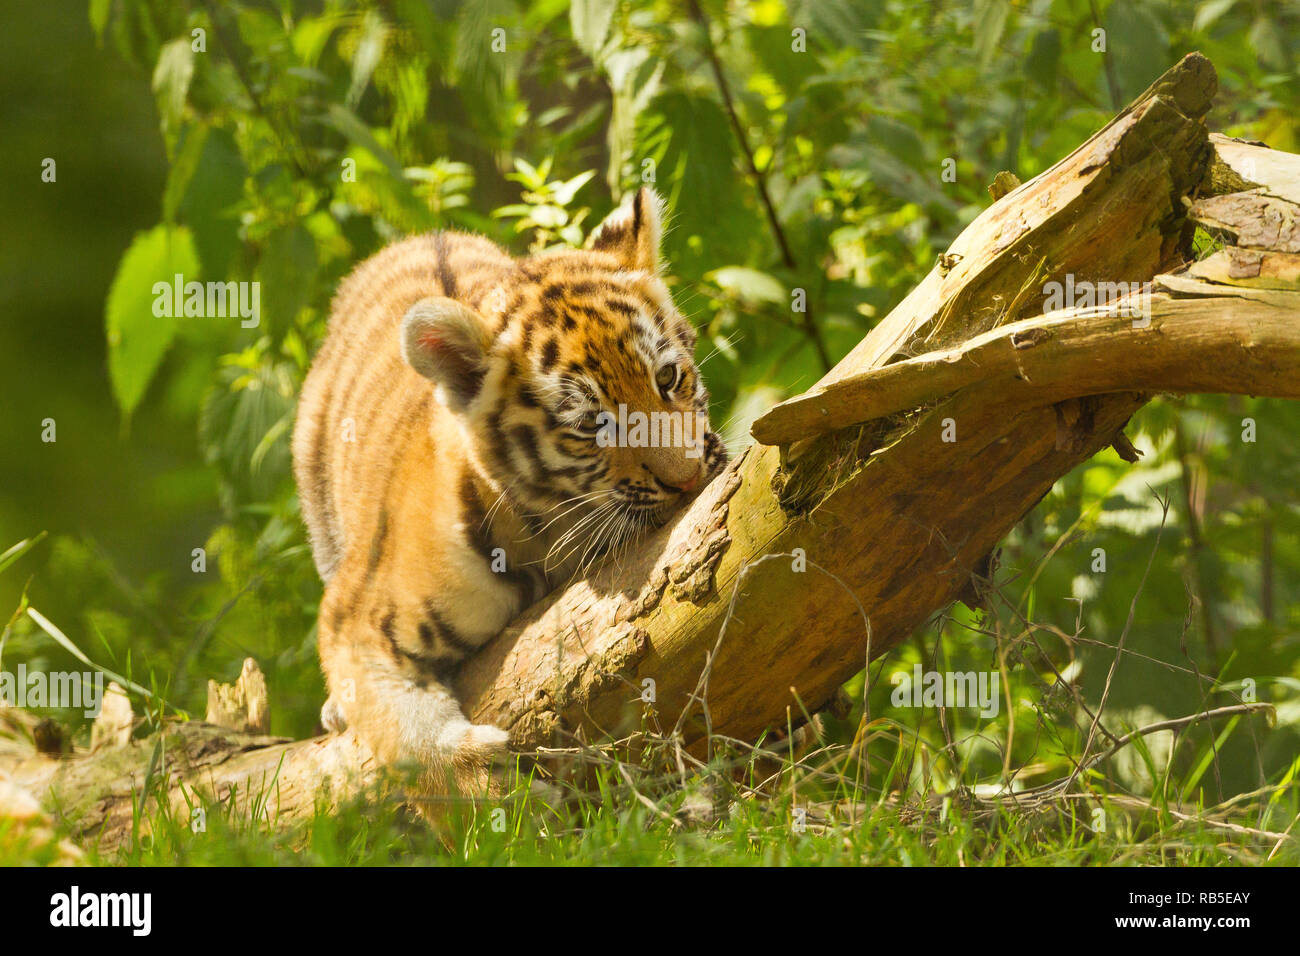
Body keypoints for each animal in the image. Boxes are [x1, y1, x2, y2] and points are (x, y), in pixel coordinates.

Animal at [291, 186, 726, 794]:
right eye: (592, 423)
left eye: (667, 378)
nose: (688, 478)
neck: (552, 533)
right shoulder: (356, 620)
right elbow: (410, 739)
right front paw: (488, 797)